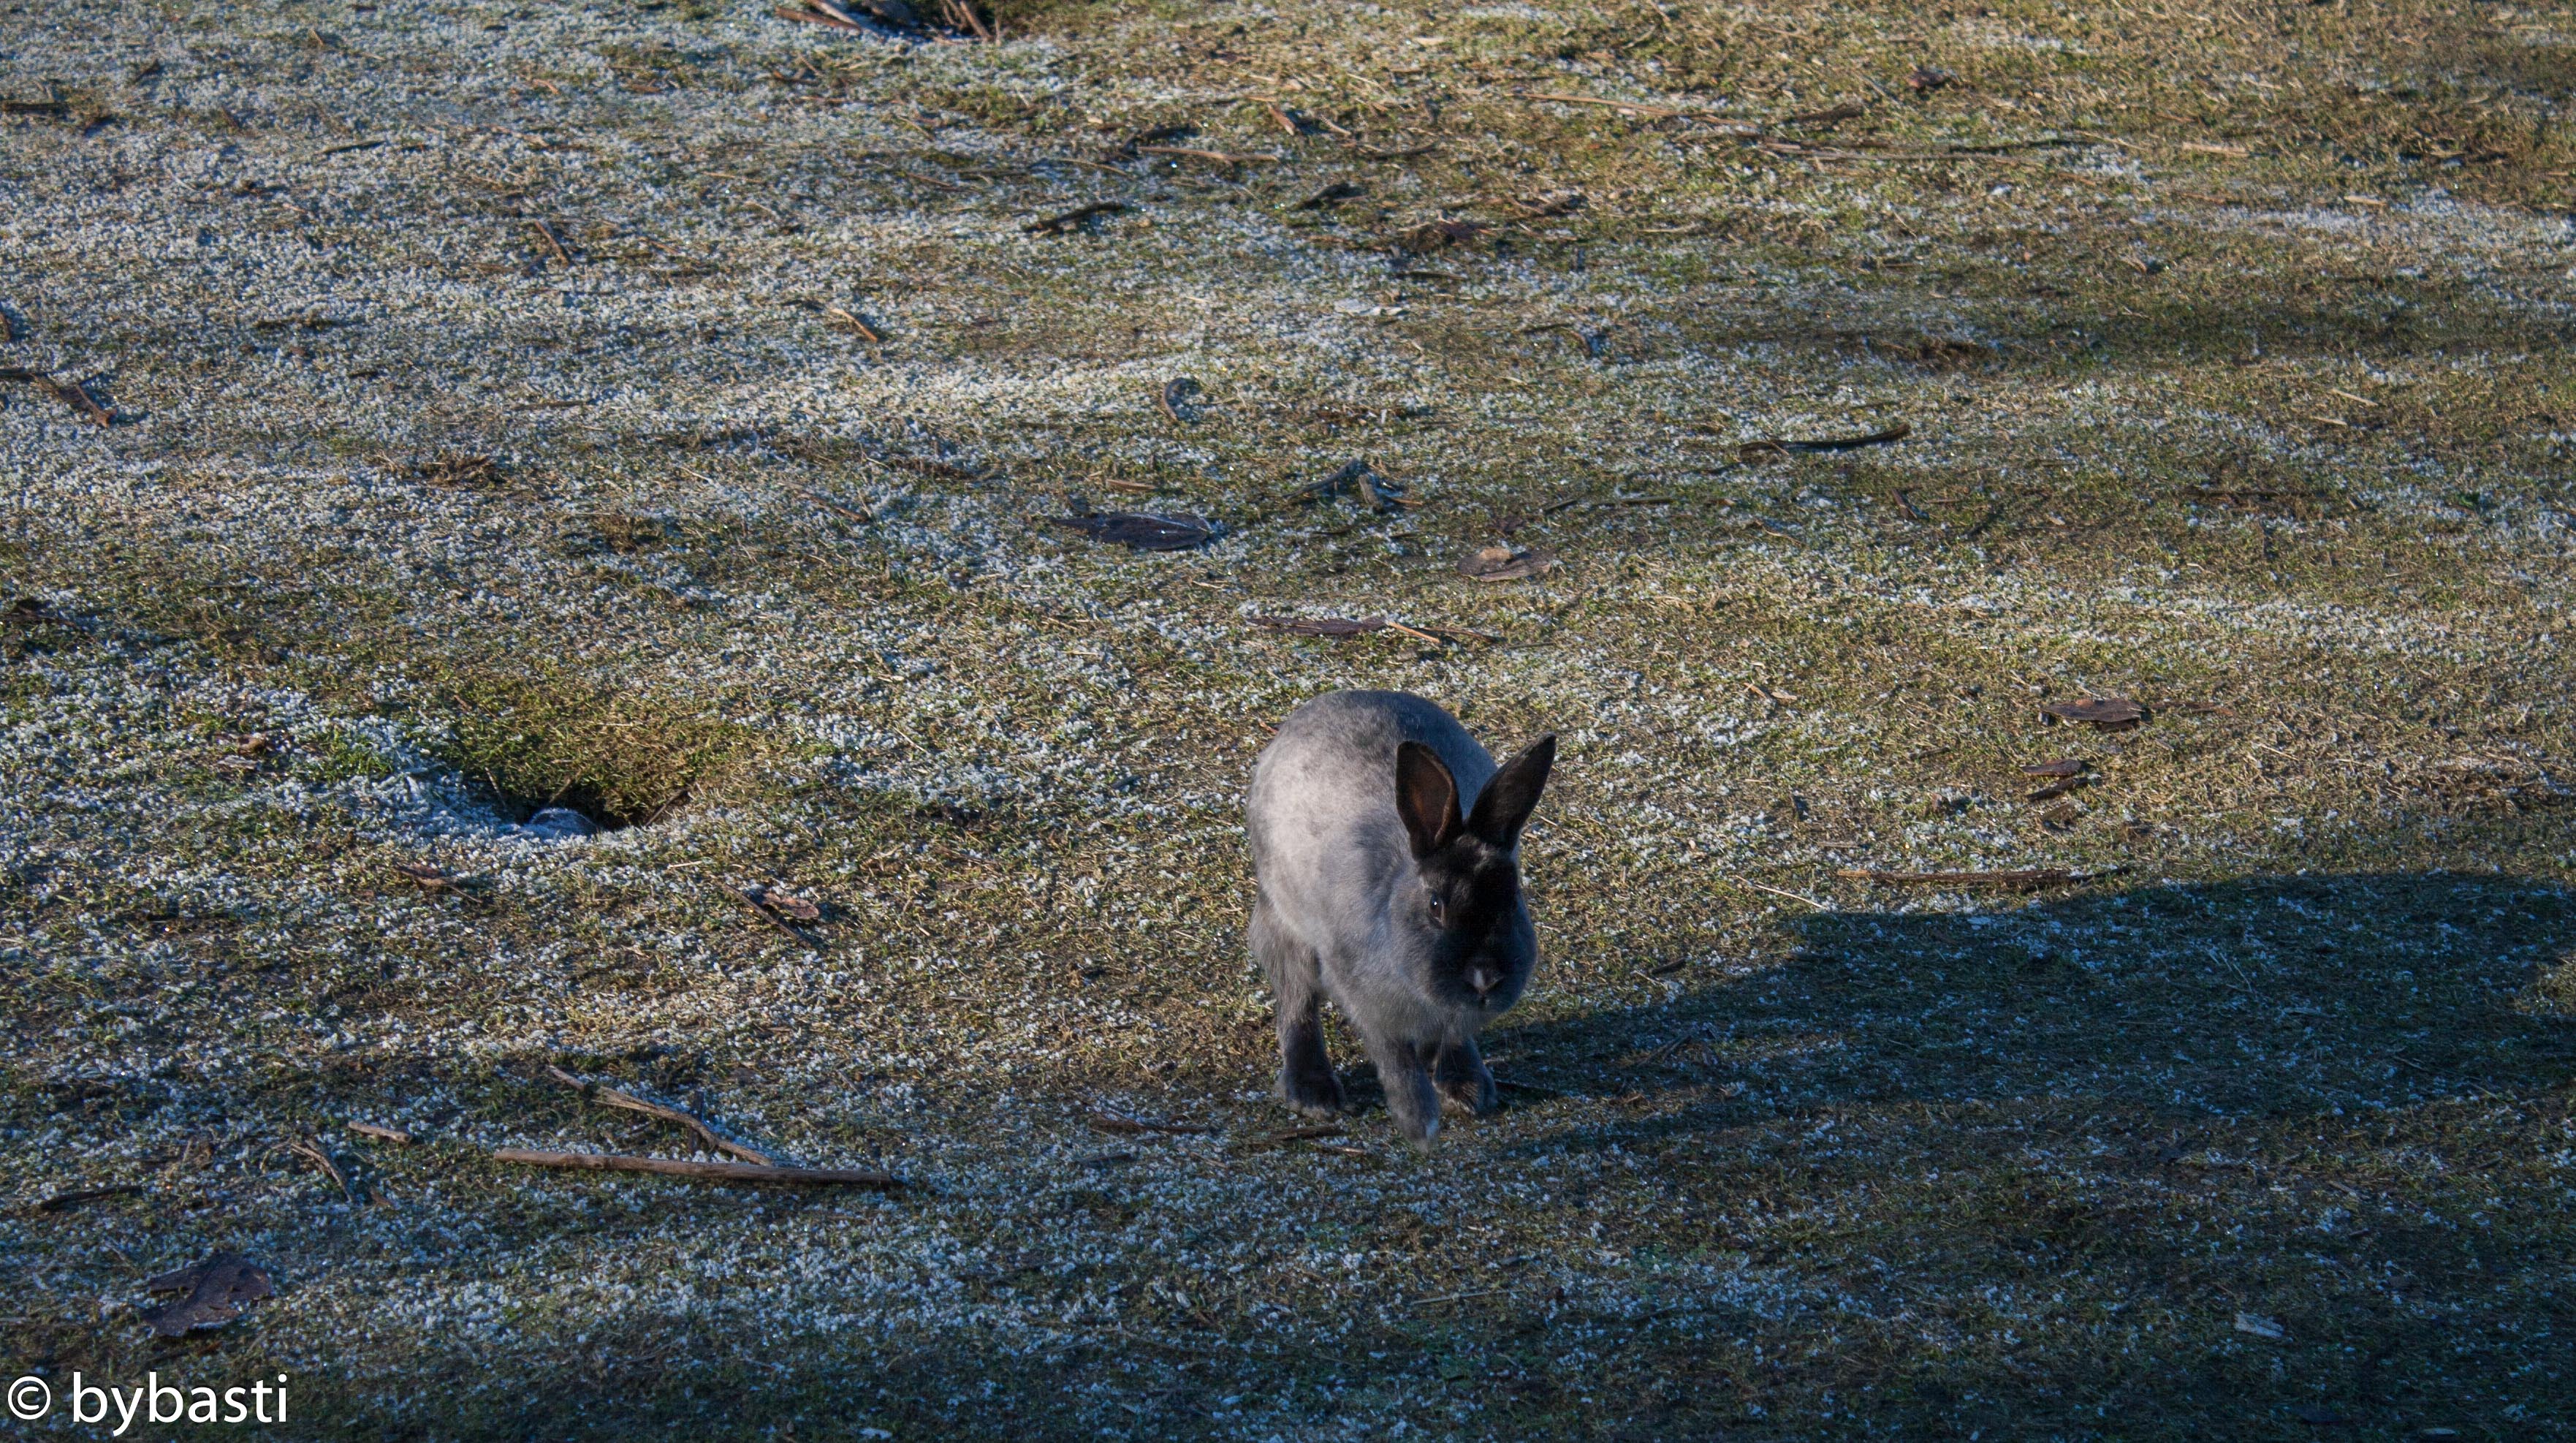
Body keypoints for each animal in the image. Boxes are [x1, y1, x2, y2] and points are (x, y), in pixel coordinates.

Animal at [1245, 690, 1556, 1150]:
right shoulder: (1365, 1000)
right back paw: (1313, 1095)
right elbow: (1395, 1060)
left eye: (1513, 895)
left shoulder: (1452, 1015)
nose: (1485, 978)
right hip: (1286, 925)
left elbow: (1453, 1036)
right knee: (1297, 1001)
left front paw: (1468, 1091)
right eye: (1435, 905)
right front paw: (1419, 1125)